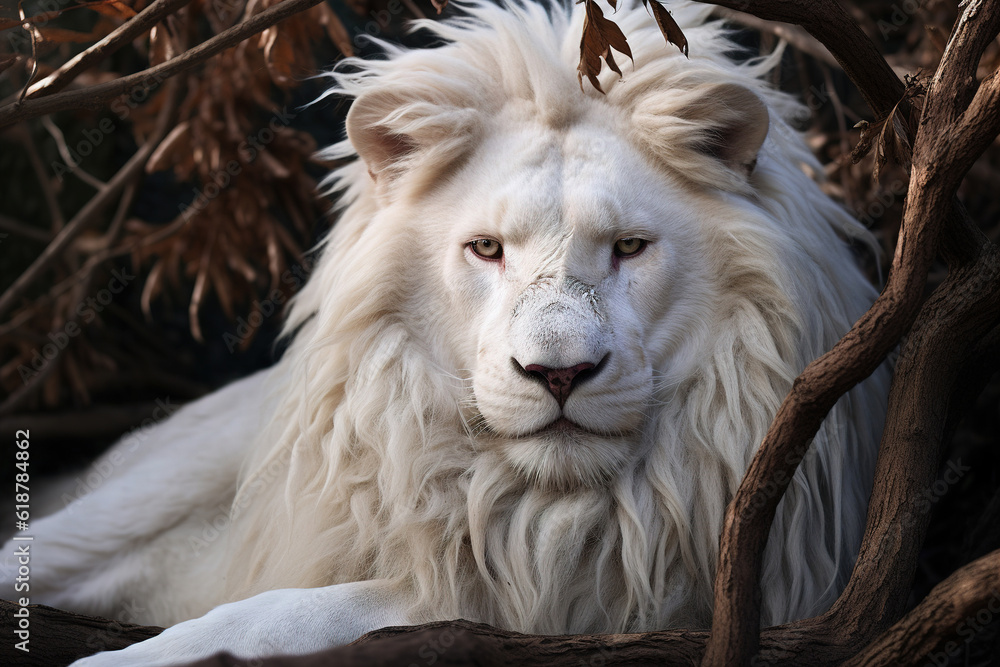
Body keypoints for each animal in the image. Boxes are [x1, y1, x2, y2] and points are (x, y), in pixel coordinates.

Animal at [5, 1, 889, 665]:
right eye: (488, 248)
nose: (558, 374)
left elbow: (296, 610)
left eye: (630, 247)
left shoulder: (593, 602)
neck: (541, 508)